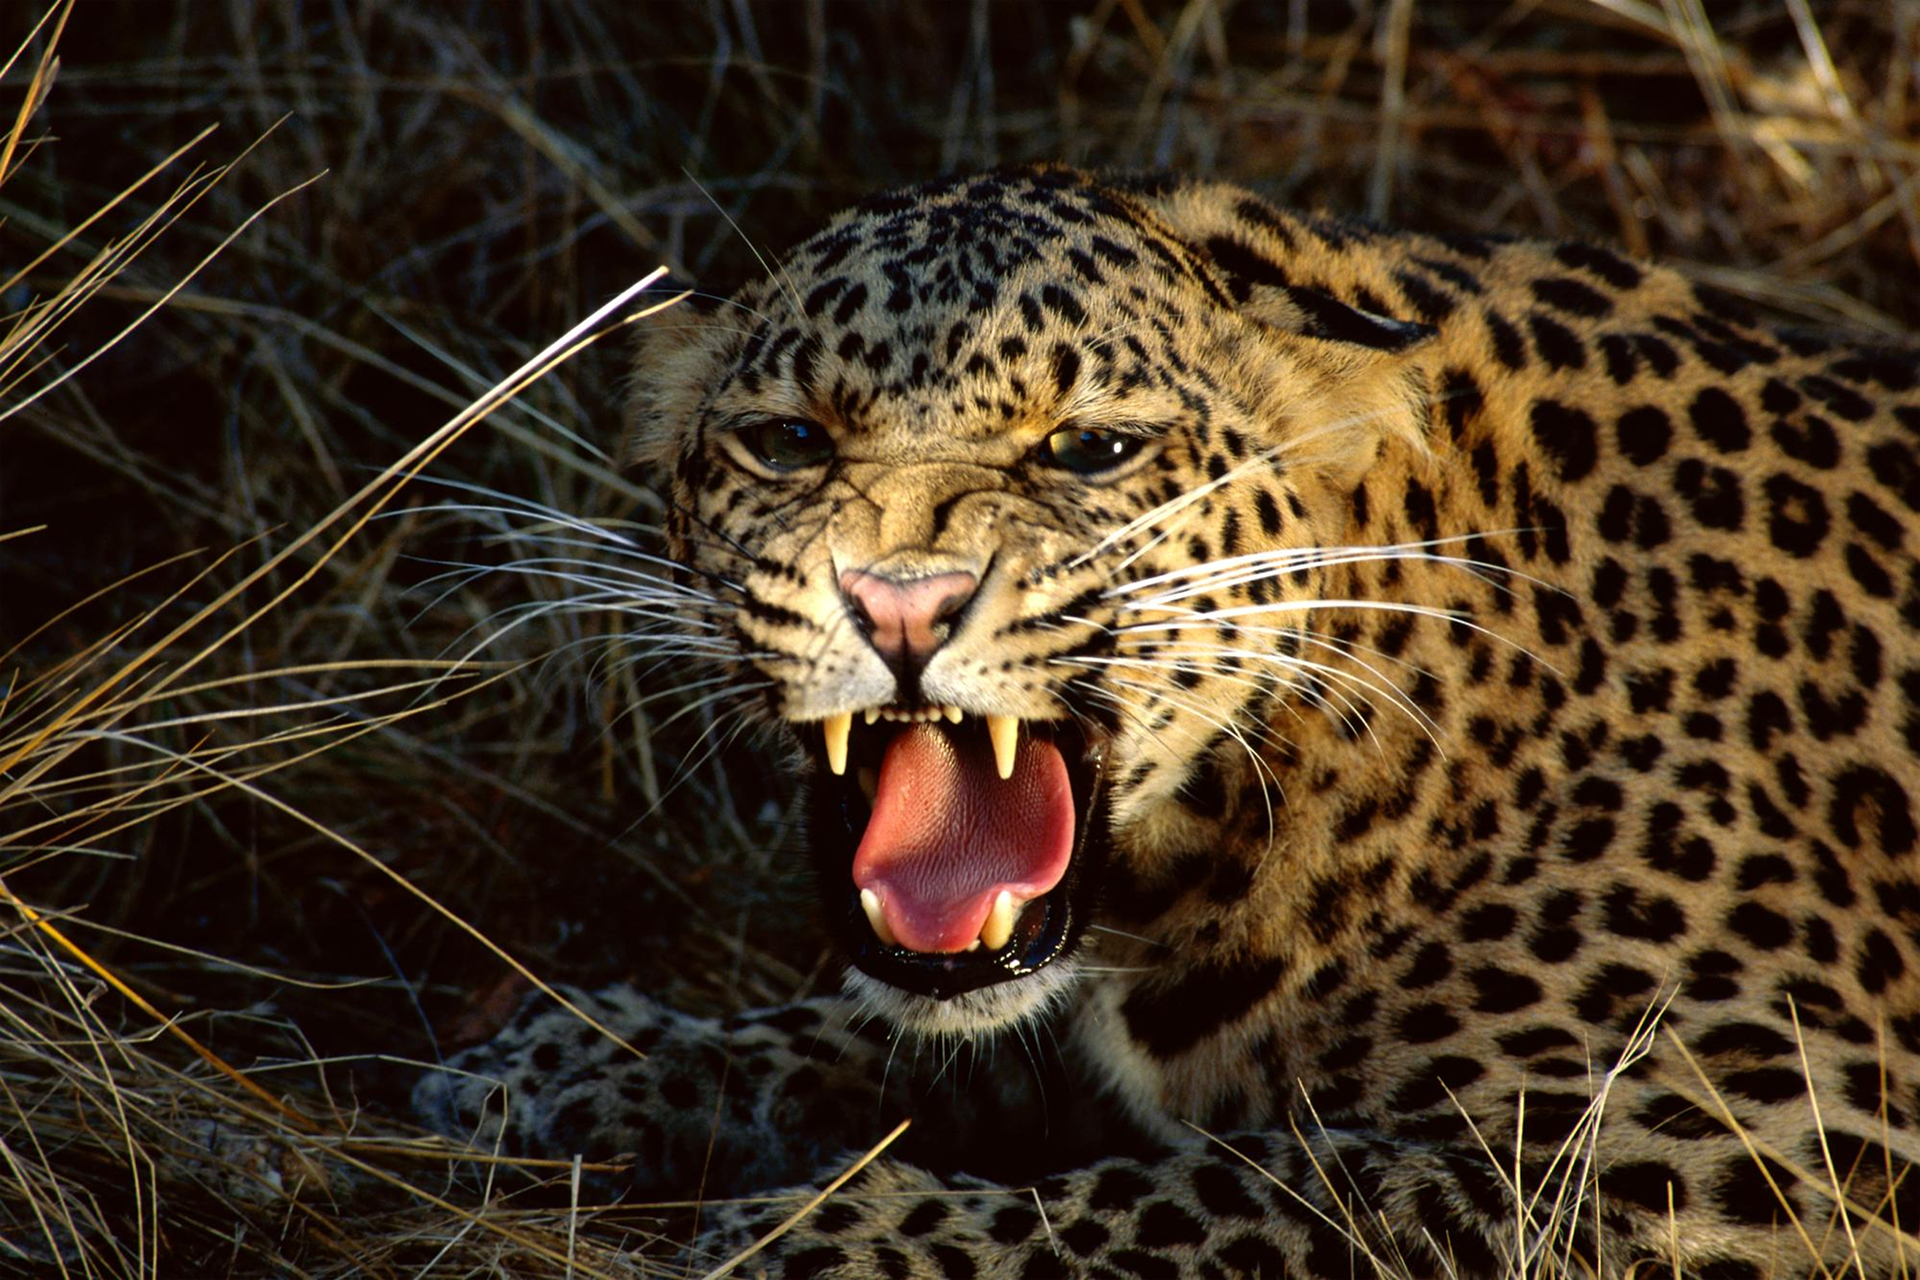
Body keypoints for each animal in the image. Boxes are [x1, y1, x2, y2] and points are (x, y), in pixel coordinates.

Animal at [416, 164, 1920, 1278]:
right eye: (790, 443)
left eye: (1092, 450)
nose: (901, 604)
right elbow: (914, 1034)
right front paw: (589, 1058)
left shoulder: (1768, 1141)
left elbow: (1273, 1187)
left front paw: (819, 1233)